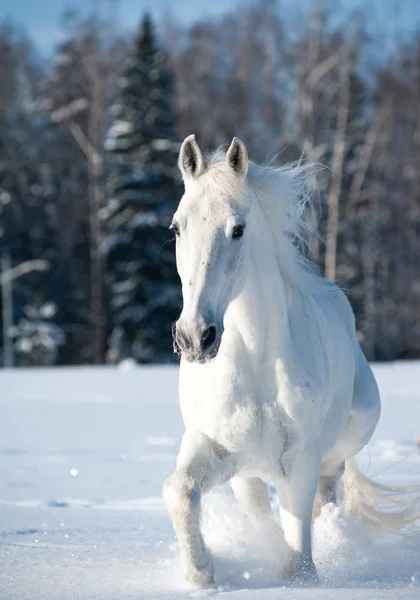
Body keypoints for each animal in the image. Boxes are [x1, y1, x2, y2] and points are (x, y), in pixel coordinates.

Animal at [163, 135, 414, 584]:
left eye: (238, 229)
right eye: (177, 227)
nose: (194, 337)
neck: (257, 367)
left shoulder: (300, 463)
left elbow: (299, 559)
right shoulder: (222, 452)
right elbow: (180, 489)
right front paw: (201, 573)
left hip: (339, 448)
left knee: (330, 494)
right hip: (251, 476)